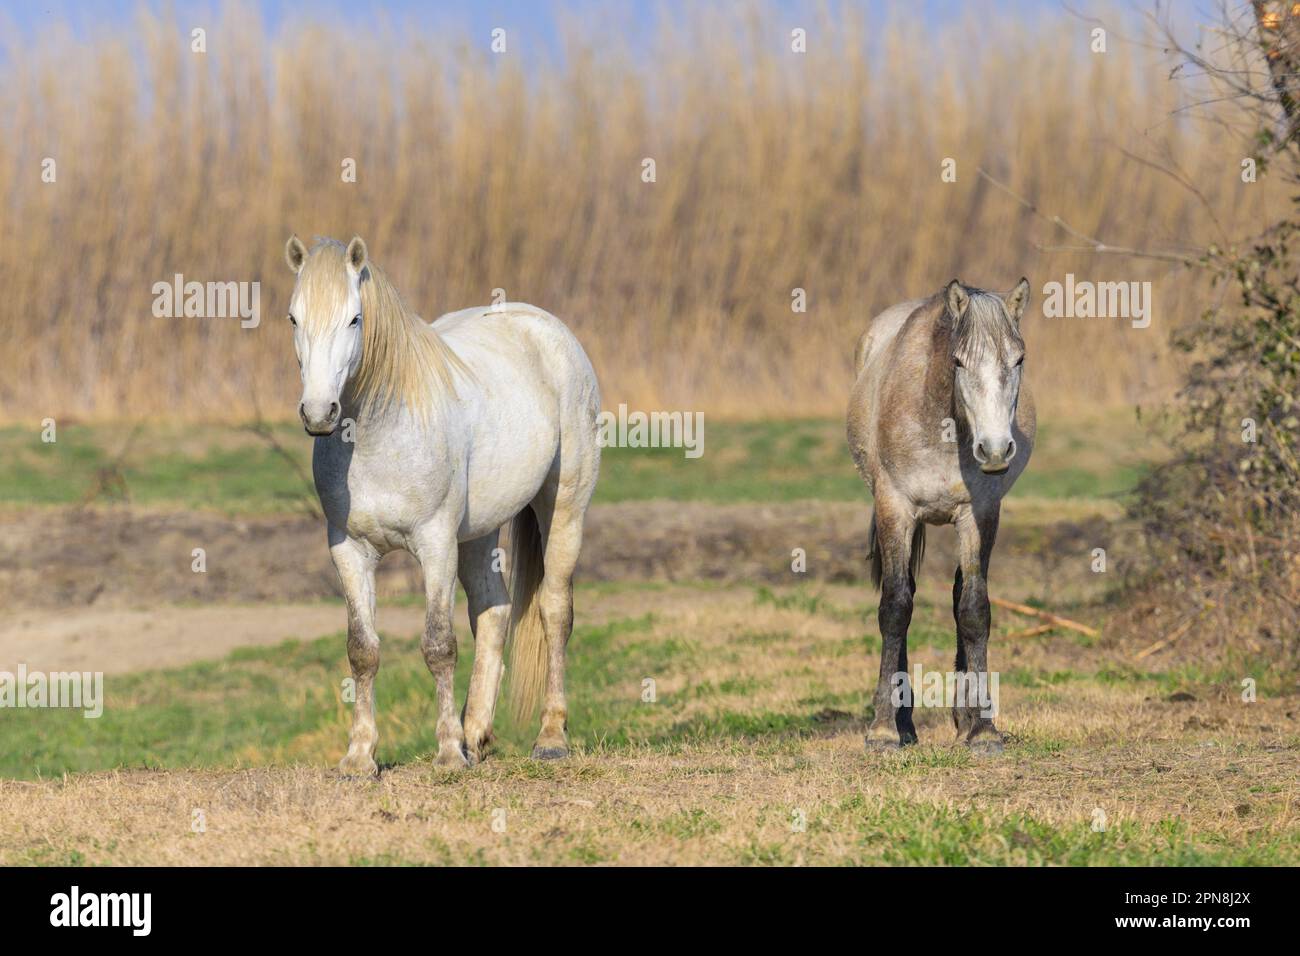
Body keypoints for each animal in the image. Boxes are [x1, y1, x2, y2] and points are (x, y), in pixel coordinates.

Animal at [283, 234, 601, 773]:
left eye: (354, 318)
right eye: (293, 318)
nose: (319, 413)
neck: (380, 434)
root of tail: (548, 329)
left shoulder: (434, 545)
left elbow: (438, 645)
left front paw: (448, 753)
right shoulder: (349, 550)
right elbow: (362, 649)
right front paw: (360, 757)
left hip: (564, 510)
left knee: (555, 610)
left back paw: (550, 737)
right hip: (478, 534)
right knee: (493, 612)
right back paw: (477, 734)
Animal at [847, 278, 1035, 753]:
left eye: (1018, 358)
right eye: (958, 360)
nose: (995, 450)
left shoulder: (979, 513)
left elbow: (974, 610)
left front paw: (983, 729)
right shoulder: (895, 508)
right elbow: (895, 607)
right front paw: (882, 729)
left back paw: (963, 719)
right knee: (903, 593)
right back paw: (904, 724)